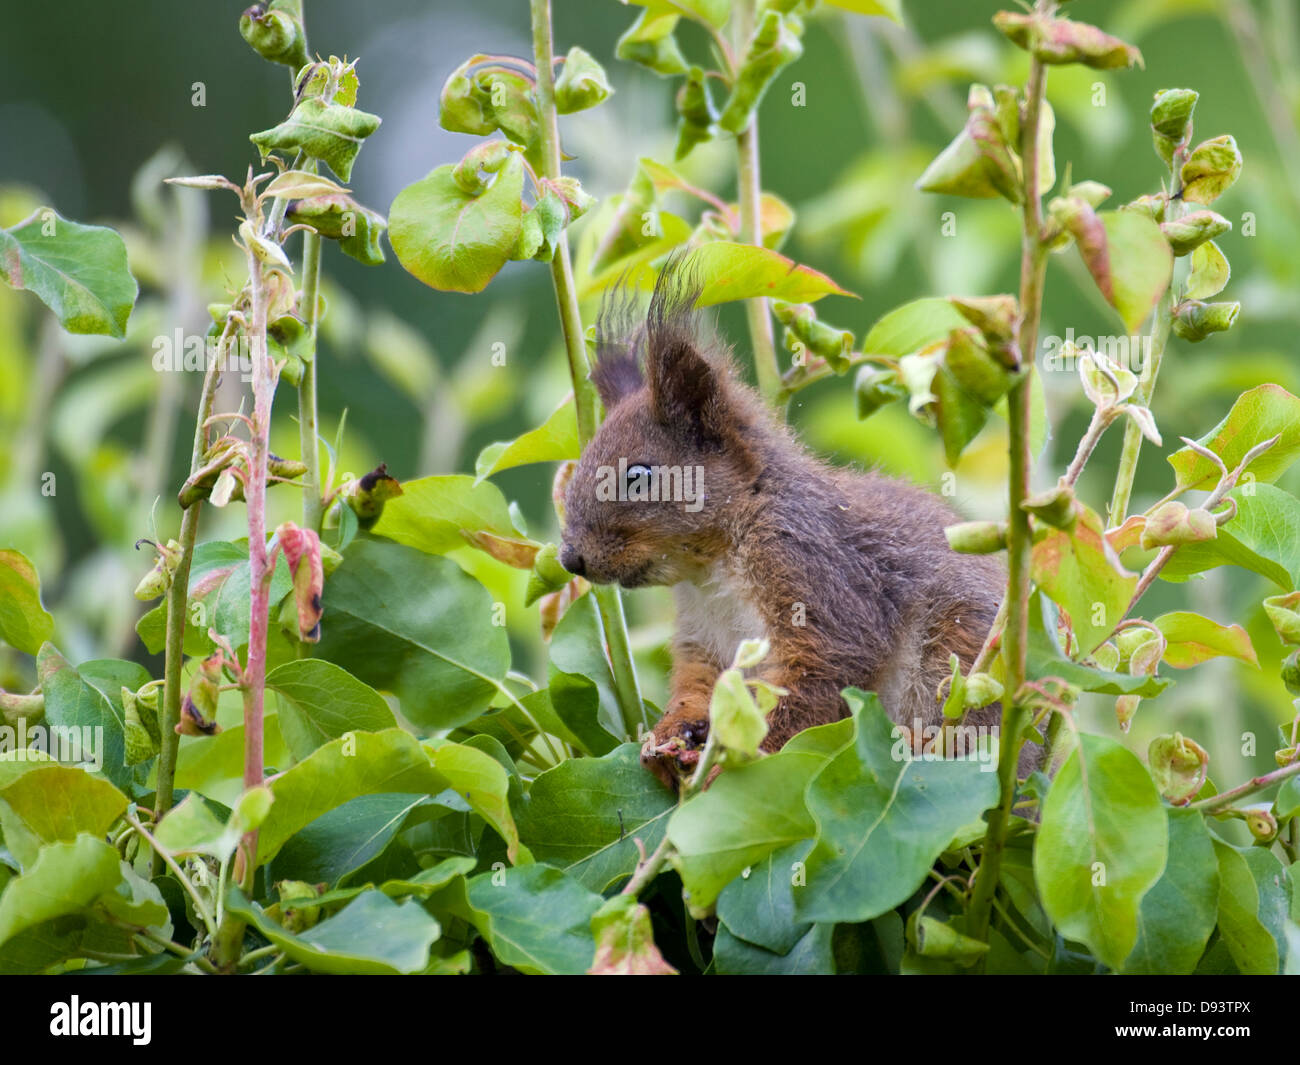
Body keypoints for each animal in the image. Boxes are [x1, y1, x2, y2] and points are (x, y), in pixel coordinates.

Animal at [559, 263, 1027, 789]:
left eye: (639, 476)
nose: (570, 559)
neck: (712, 569)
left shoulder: (815, 568)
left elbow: (822, 678)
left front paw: (732, 765)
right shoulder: (704, 638)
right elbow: (698, 683)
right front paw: (667, 735)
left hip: (961, 665)